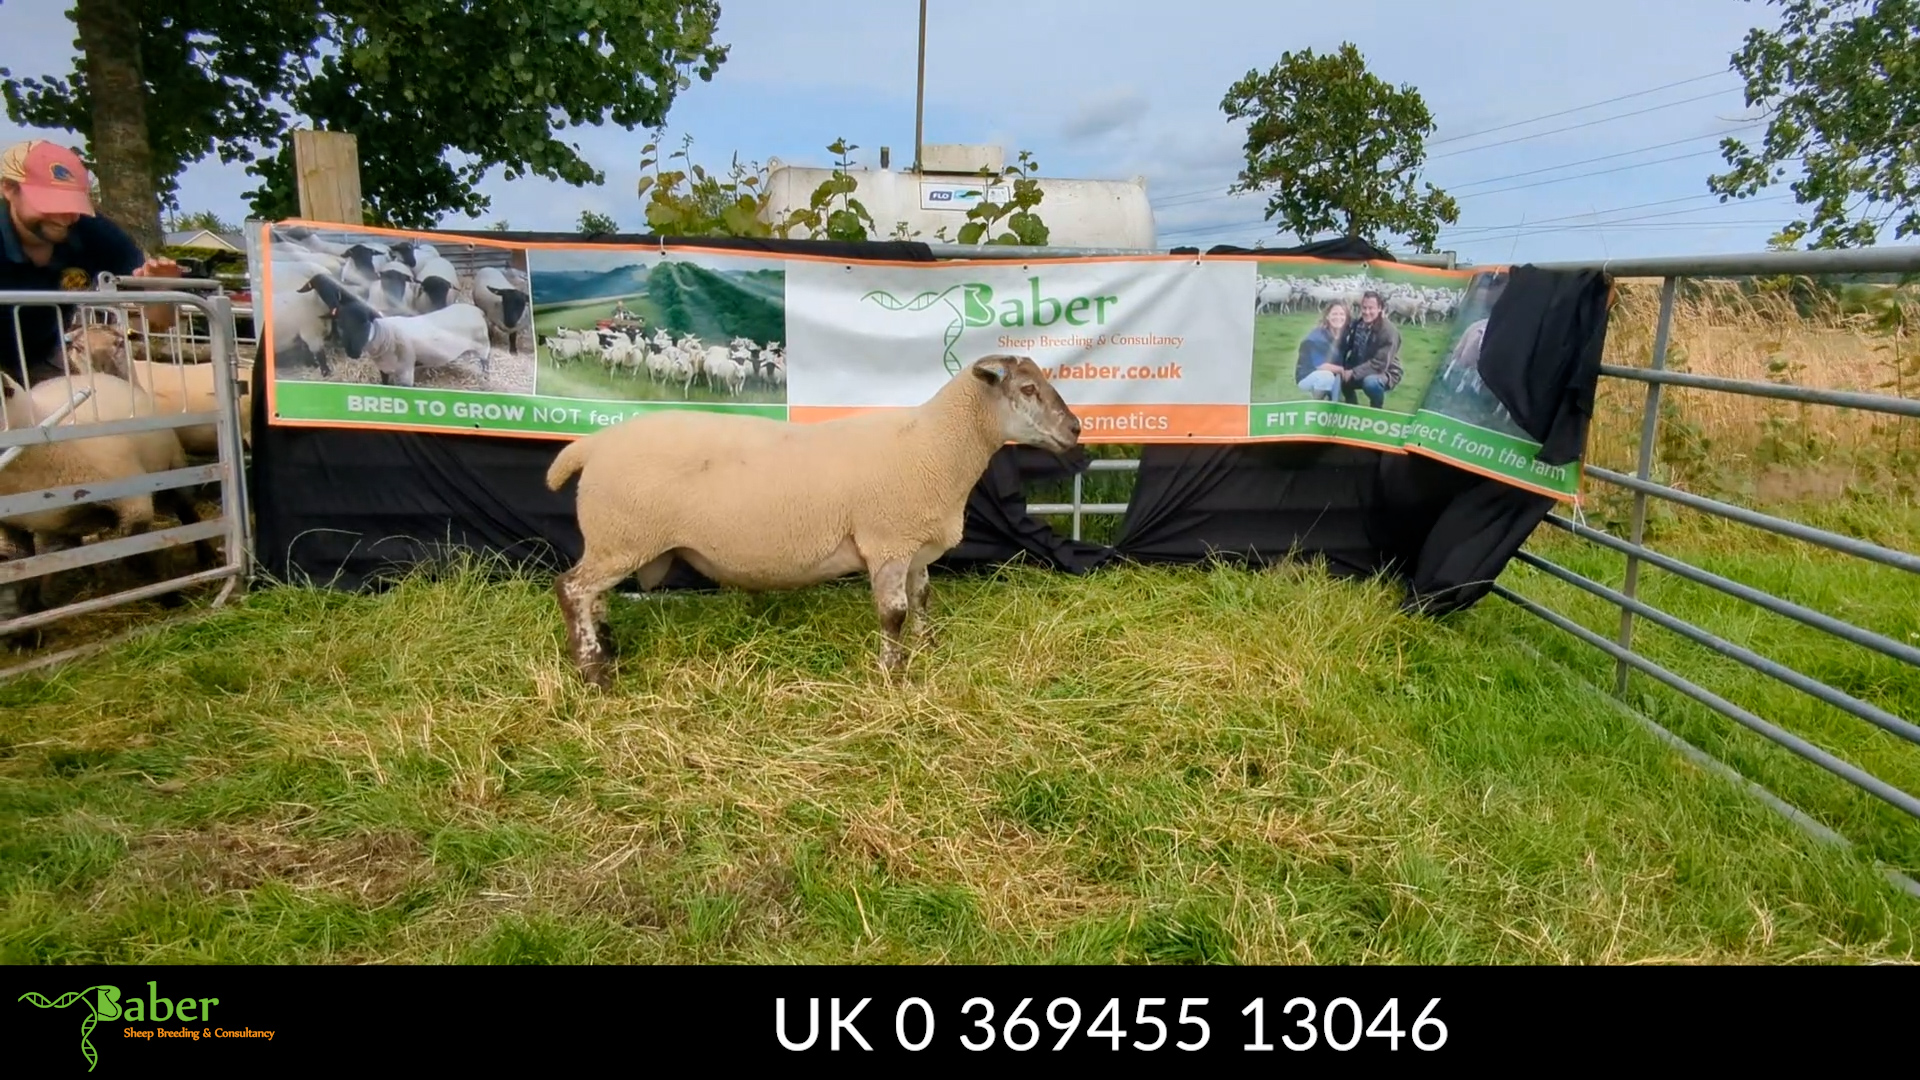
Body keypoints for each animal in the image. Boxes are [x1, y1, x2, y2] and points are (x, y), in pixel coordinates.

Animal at [542, 353, 1084, 688]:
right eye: (1028, 388)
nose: (1077, 429)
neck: (936, 445)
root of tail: (591, 446)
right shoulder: (886, 541)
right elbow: (894, 613)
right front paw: (893, 674)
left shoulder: (912, 547)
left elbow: (924, 599)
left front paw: (929, 648)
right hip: (622, 536)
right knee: (572, 589)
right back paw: (594, 673)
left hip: (614, 539)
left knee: (595, 596)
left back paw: (608, 649)